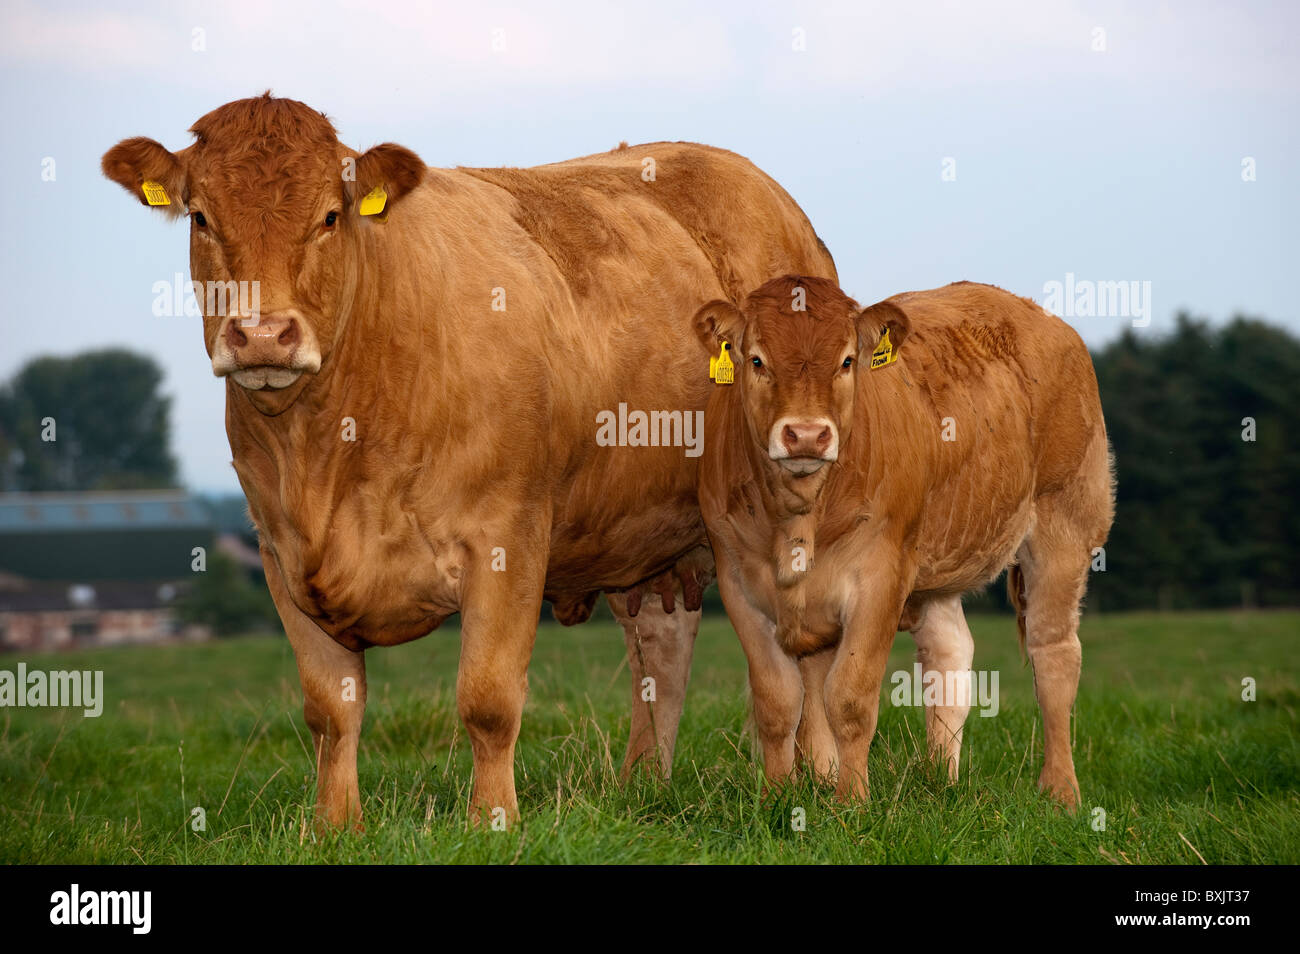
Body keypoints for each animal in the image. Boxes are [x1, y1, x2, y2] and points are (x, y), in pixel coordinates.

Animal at [101, 94, 837, 829]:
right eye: (201, 217)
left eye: (330, 216)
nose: (261, 336)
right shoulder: (281, 556)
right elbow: (331, 712)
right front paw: (334, 827)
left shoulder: (507, 536)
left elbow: (488, 700)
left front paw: (493, 820)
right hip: (643, 535)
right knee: (660, 643)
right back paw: (641, 786)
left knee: (802, 650)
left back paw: (823, 780)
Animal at [693, 276, 1113, 808]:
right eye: (756, 359)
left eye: (847, 360)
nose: (806, 435)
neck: (798, 517)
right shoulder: (737, 583)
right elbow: (778, 702)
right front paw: (776, 797)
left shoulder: (881, 577)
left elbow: (849, 698)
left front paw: (851, 801)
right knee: (949, 657)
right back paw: (941, 781)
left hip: (1065, 527)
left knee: (1053, 655)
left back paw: (1060, 792)